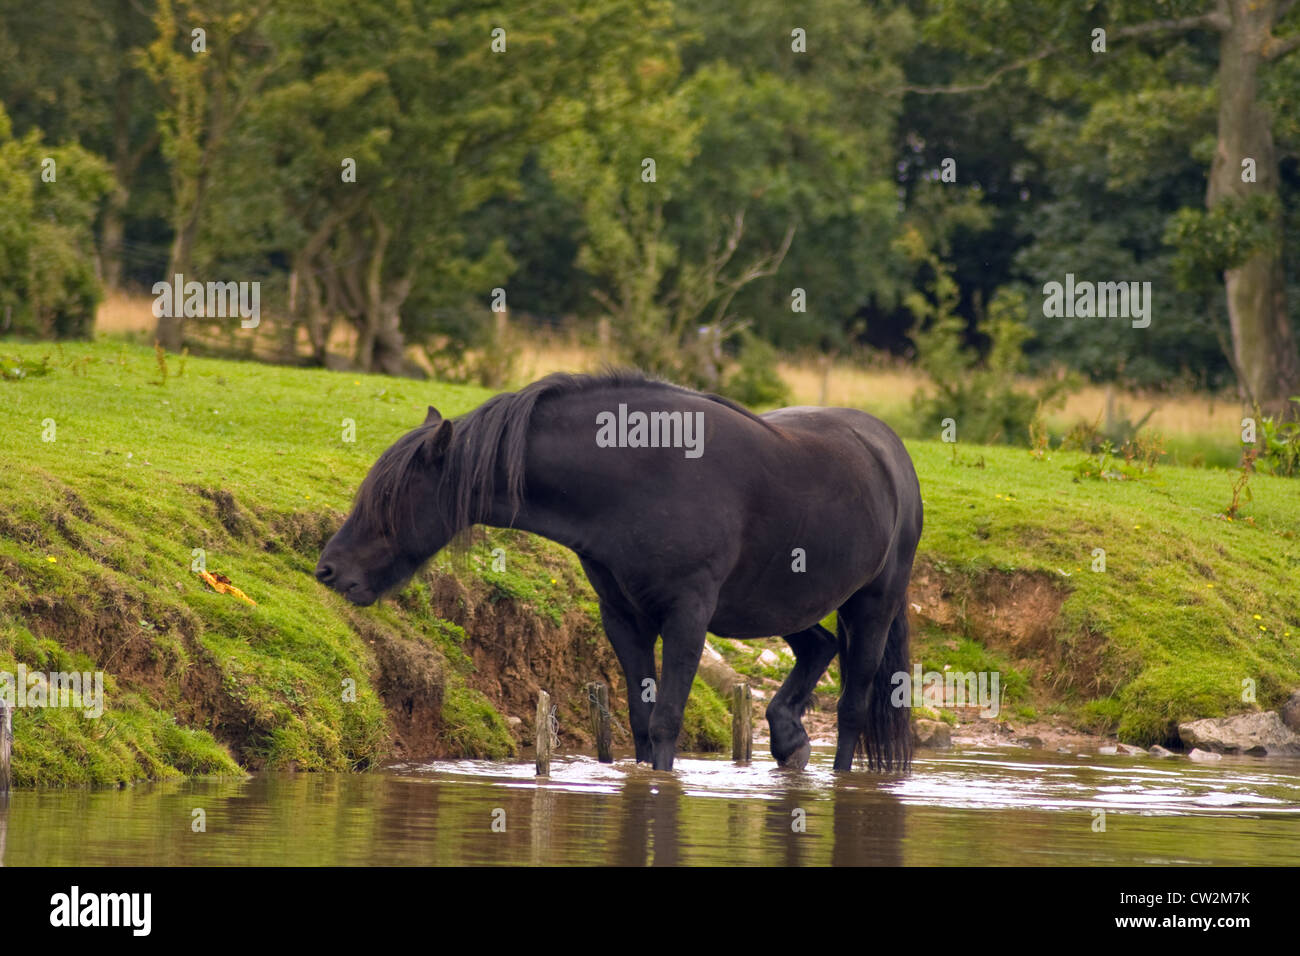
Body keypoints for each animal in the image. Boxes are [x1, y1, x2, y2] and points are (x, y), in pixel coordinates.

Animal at [315, 370, 923, 772]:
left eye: (392, 497)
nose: (329, 570)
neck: (639, 477)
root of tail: (889, 452)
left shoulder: (687, 617)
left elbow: (666, 721)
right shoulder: (624, 618)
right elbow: (639, 722)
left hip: (872, 607)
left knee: (852, 708)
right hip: (779, 603)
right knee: (818, 646)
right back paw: (788, 737)